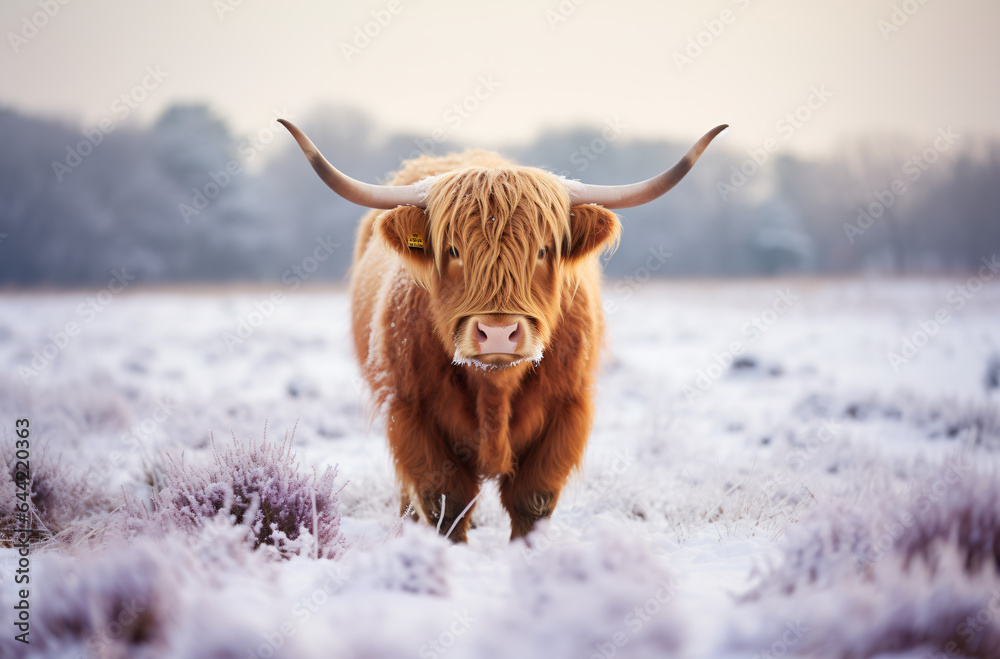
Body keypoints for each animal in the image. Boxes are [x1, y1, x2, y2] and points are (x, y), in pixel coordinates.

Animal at [278, 119, 726, 541]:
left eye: (543, 250)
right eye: (453, 250)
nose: (497, 333)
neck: (495, 389)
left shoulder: (567, 410)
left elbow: (533, 500)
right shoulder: (410, 411)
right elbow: (444, 502)